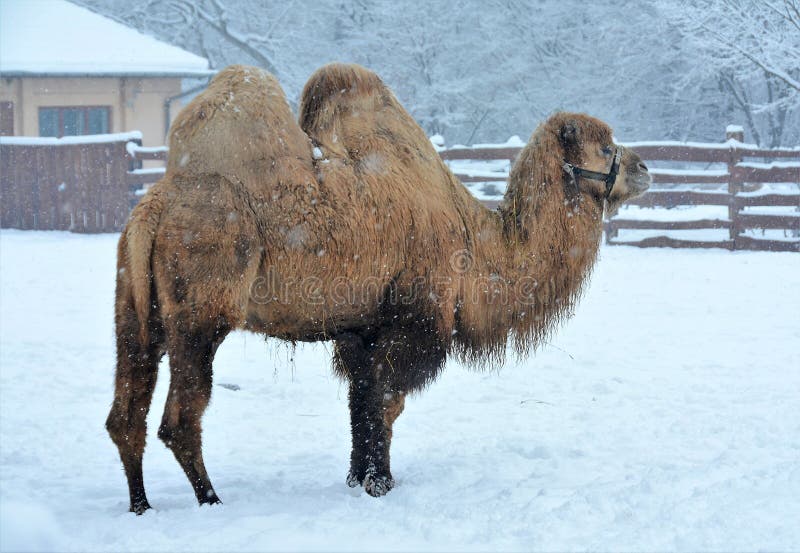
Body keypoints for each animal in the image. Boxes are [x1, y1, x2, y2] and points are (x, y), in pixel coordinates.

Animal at [106, 63, 650, 514]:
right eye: (606, 147)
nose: (644, 168)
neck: (473, 241)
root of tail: (153, 209)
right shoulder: (413, 319)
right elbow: (386, 401)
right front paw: (380, 485)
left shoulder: (360, 327)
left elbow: (360, 402)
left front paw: (357, 478)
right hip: (201, 312)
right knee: (180, 416)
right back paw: (211, 500)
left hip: (133, 307)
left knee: (125, 410)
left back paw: (141, 504)